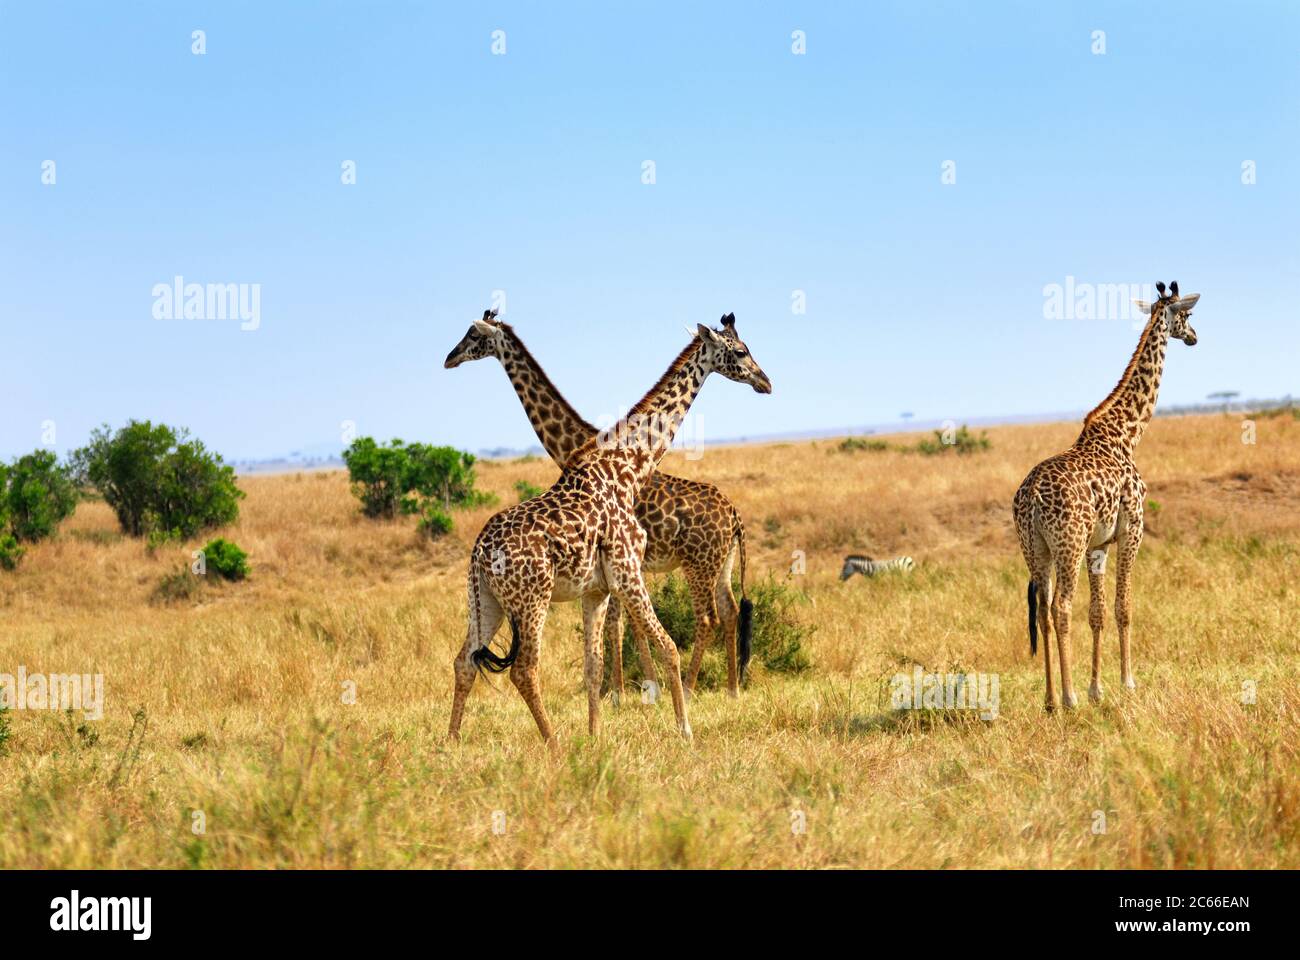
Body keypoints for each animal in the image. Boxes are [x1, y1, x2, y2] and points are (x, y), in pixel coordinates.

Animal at [446, 318, 771, 743]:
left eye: (473, 334)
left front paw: (597, 734)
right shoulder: (627, 572)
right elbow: (665, 645)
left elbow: (594, 664)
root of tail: (480, 552)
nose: (765, 381)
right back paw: (554, 743)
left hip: (486, 599)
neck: (627, 466)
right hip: (533, 599)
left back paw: (451, 744)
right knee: (524, 669)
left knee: (464, 661)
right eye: (739, 352)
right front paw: (681, 726)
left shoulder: (599, 588)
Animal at [1013, 281, 1201, 710]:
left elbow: (1097, 612)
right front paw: (1127, 682)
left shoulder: (1099, 543)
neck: (1127, 433)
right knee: (1060, 607)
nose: (1195, 337)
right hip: (1068, 544)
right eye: (1187, 314)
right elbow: (1123, 607)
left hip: (1036, 549)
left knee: (1043, 611)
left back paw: (1050, 699)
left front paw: (1097, 689)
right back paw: (1068, 699)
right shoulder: (1132, 531)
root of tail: (1030, 499)